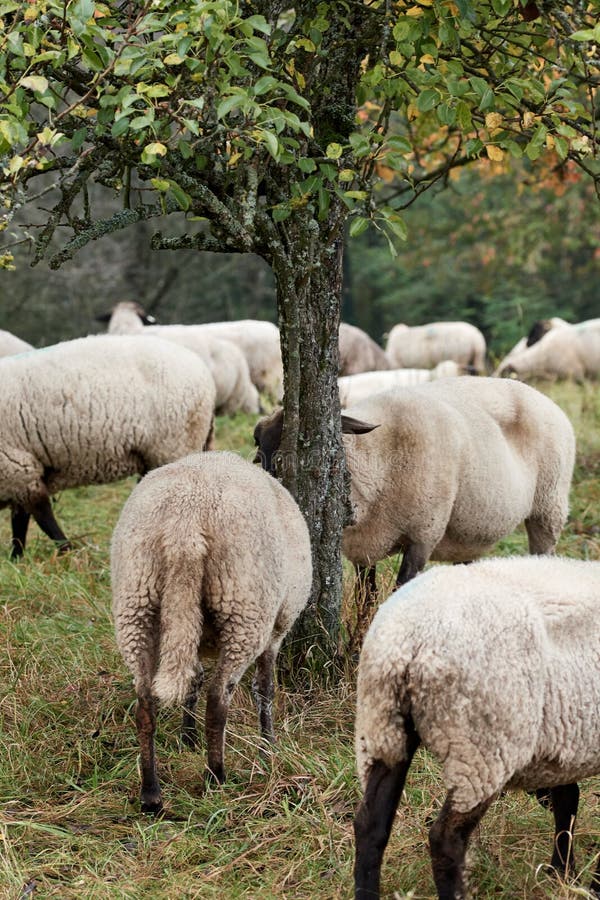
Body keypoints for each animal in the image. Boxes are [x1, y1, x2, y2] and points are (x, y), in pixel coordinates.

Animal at [0, 334, 215, 558]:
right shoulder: (19, 476)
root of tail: (203, 372)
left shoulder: (16, 469)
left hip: (174, 445)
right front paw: (17, 558)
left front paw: (67, 552)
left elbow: (41, 516)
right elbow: (21, 521)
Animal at [111, 450, 312, 810]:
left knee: (145, 703)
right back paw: (216, 776)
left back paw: (151, 793)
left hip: (136, 599)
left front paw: (187, 737)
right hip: (244, 608)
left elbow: (193, 679)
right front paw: (269, 747)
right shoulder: (276, 631)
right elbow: (265, 689)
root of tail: (186, 520)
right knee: (218, 699)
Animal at [254, 376, 575, 600]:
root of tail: (544, 399)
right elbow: (365, 596)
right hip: (474, 527)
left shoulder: (423, 535)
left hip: (549, 507)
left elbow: (399, 590)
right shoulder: (363, 548)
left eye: (289, 452)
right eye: (260, 451)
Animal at [353, 555, 600, 900]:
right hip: (480, 748)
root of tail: (410, 640)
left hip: (383, 727)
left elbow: (568, 798)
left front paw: (562, 874)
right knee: (445, 838)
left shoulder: (562, 740)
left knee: (370, 825)